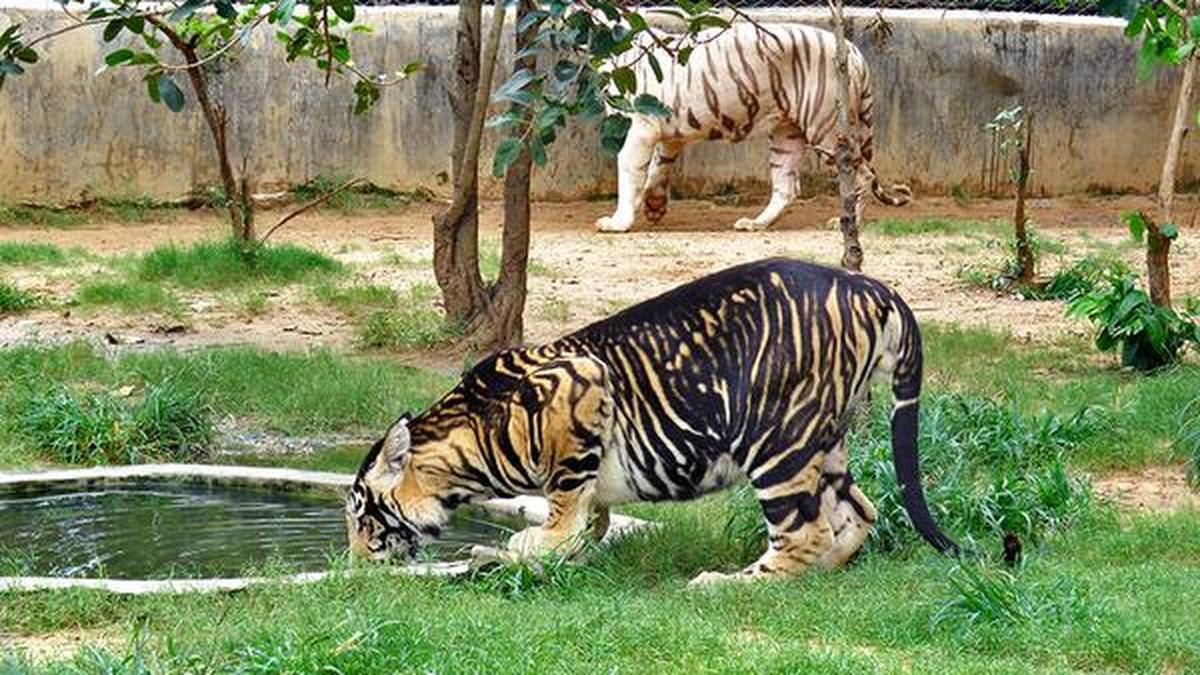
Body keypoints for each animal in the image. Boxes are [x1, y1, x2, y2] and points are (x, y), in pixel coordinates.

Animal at [346, 258, 957, 585]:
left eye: (361, 515)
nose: (354, 563)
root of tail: (871, 286)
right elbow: (585, 522)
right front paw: (521, 554)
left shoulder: (579, 388)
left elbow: (563, 513)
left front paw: (519, 548)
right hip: (824, 440)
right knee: (855, 514)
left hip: (778, 438)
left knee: (803, 532)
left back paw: (725, 583)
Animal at [595, 22, 912, 234]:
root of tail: (855, 52)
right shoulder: (668, 134)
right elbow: (656, 169)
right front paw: (654, 206)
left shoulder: (642, 125)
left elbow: (630, 168)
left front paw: (618, 221)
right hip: (786, 135)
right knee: (786, 188)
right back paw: (756, 223)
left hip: (827, 129)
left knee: (861, 175)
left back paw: (844, 221)